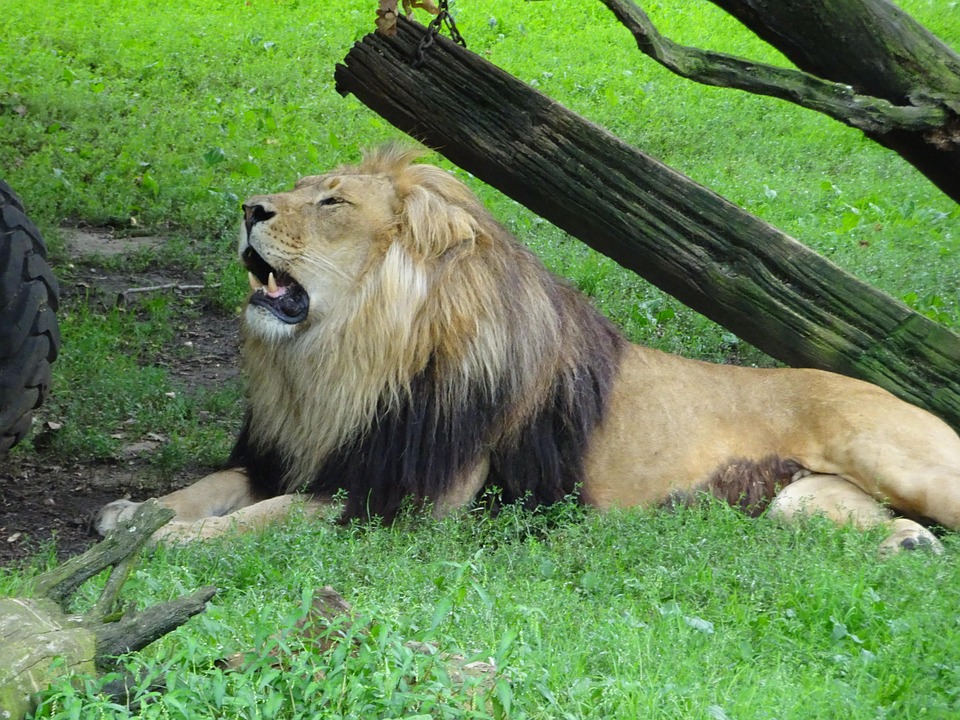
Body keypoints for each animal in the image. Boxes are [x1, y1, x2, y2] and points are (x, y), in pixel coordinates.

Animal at [96, 146, 960, 554]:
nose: (249, 208)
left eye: (331, 201)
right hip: (796, 504)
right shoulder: (289, 456)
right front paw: (134, 512)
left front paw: (168, 540)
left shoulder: (404, 497)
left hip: (905, 460)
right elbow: (213, 486)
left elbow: (256, 521)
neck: (338, 361)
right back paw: (905, 544)